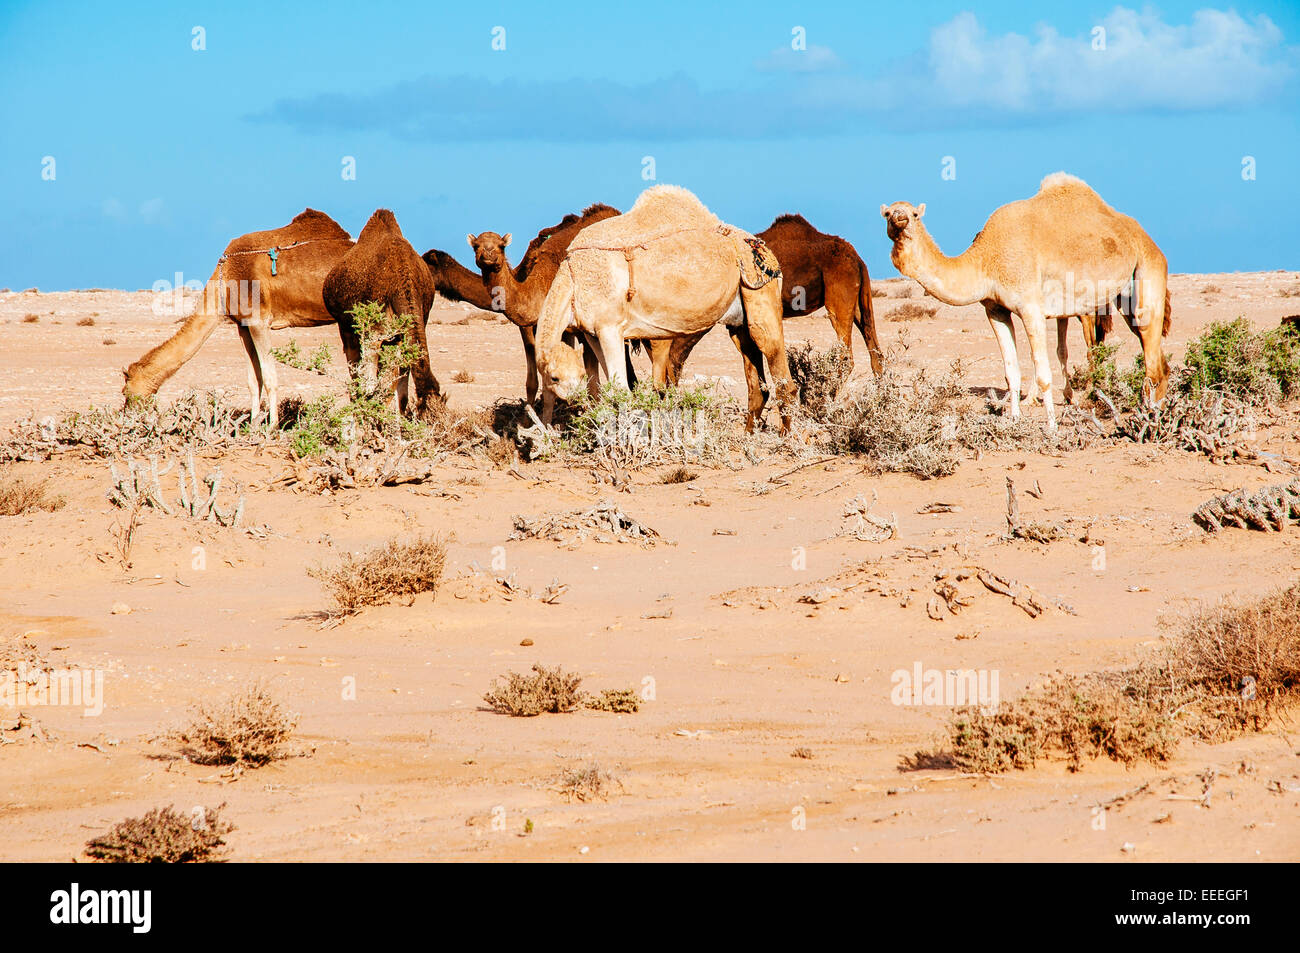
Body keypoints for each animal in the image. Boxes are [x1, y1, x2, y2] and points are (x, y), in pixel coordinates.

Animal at [122, 209, 353, 426]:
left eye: (125, 392)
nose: (125, 417)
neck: (224, 282)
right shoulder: (243, 325)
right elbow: (253, 380)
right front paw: (253, 425)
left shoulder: (259, 320)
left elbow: (269, 377)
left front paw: (272, 427)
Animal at [535, 185, 797, 433]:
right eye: (555, 377)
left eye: (578, 375)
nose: (575, 400)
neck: (573, 279)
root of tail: (765, 250)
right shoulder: (593, 332)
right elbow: (610, 387)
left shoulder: (610, 327)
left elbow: (621, 389)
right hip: (739, 319)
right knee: (756, 381)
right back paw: (748, 435)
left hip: (761, 291)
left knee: (781, 371)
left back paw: (789, 438)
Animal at [881, 173, 1170, 428]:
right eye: (886, 214)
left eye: (914, 214)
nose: (900, 218)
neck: (986, 259)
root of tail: (1149, 240)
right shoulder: (995, 310)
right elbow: (1011, 372)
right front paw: (1015, 420)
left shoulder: (1032, 308)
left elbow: (1043, 375)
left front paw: (1052, 428)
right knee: (1160, 362)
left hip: (1147, 269)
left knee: (1151, 357)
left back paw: (1150, 420)